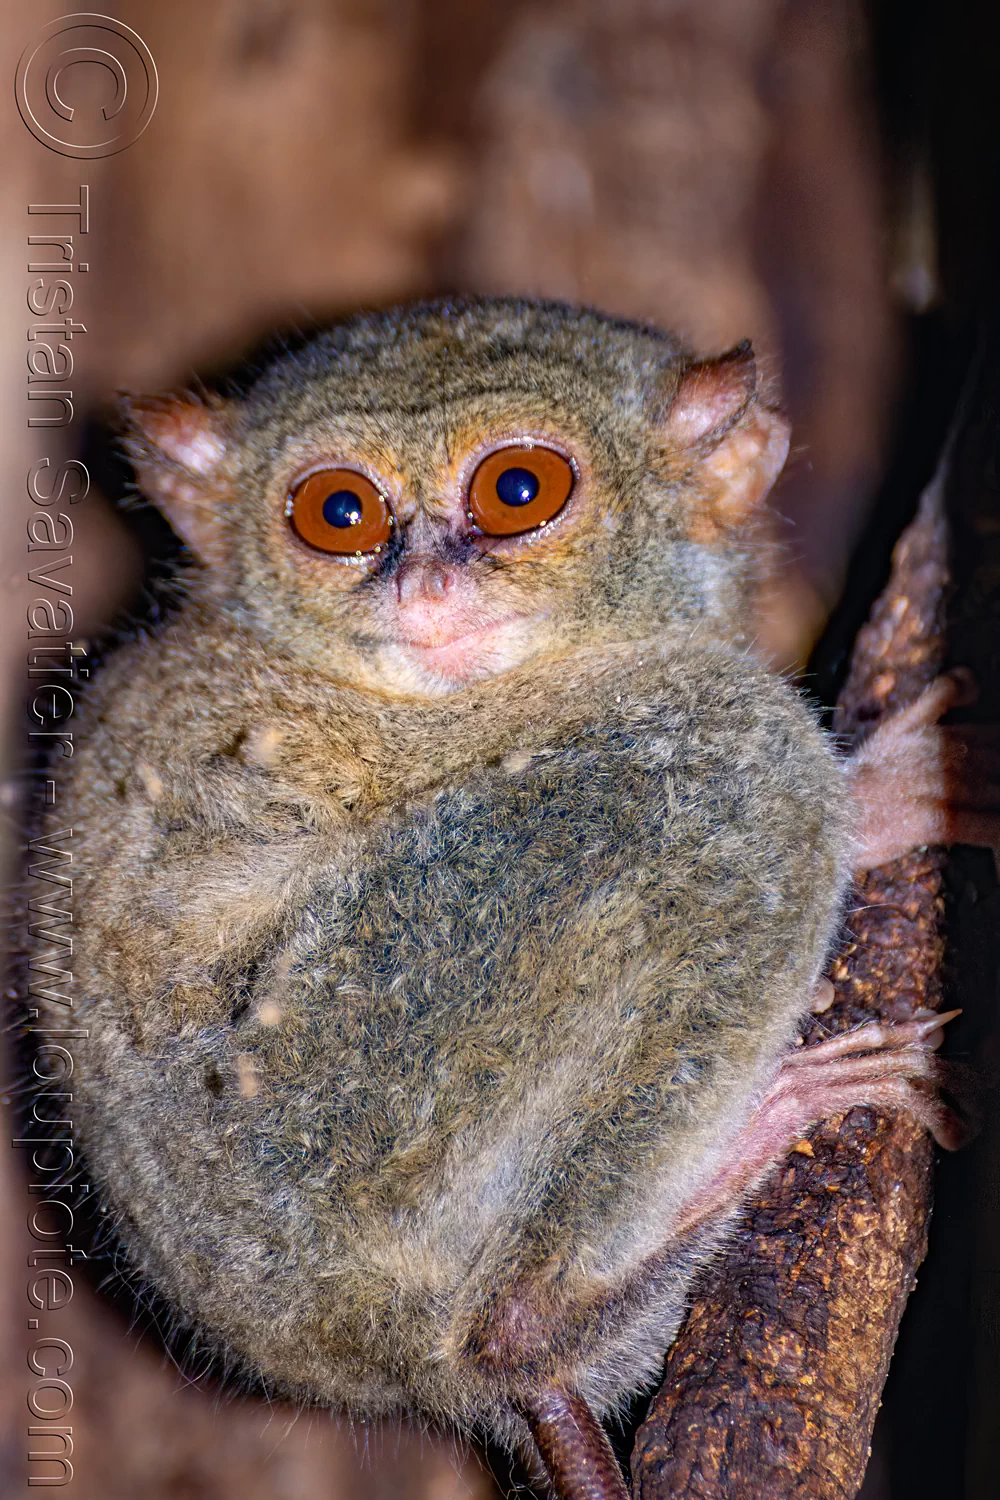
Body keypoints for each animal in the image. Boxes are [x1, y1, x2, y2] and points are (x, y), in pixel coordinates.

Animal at [28, 298, 991, 1499]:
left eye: (517, 492)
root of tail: (373, 1355)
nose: (424, 588)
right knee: (739, 748)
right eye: (338, 514)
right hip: (338, 1093)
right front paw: (891, 789)